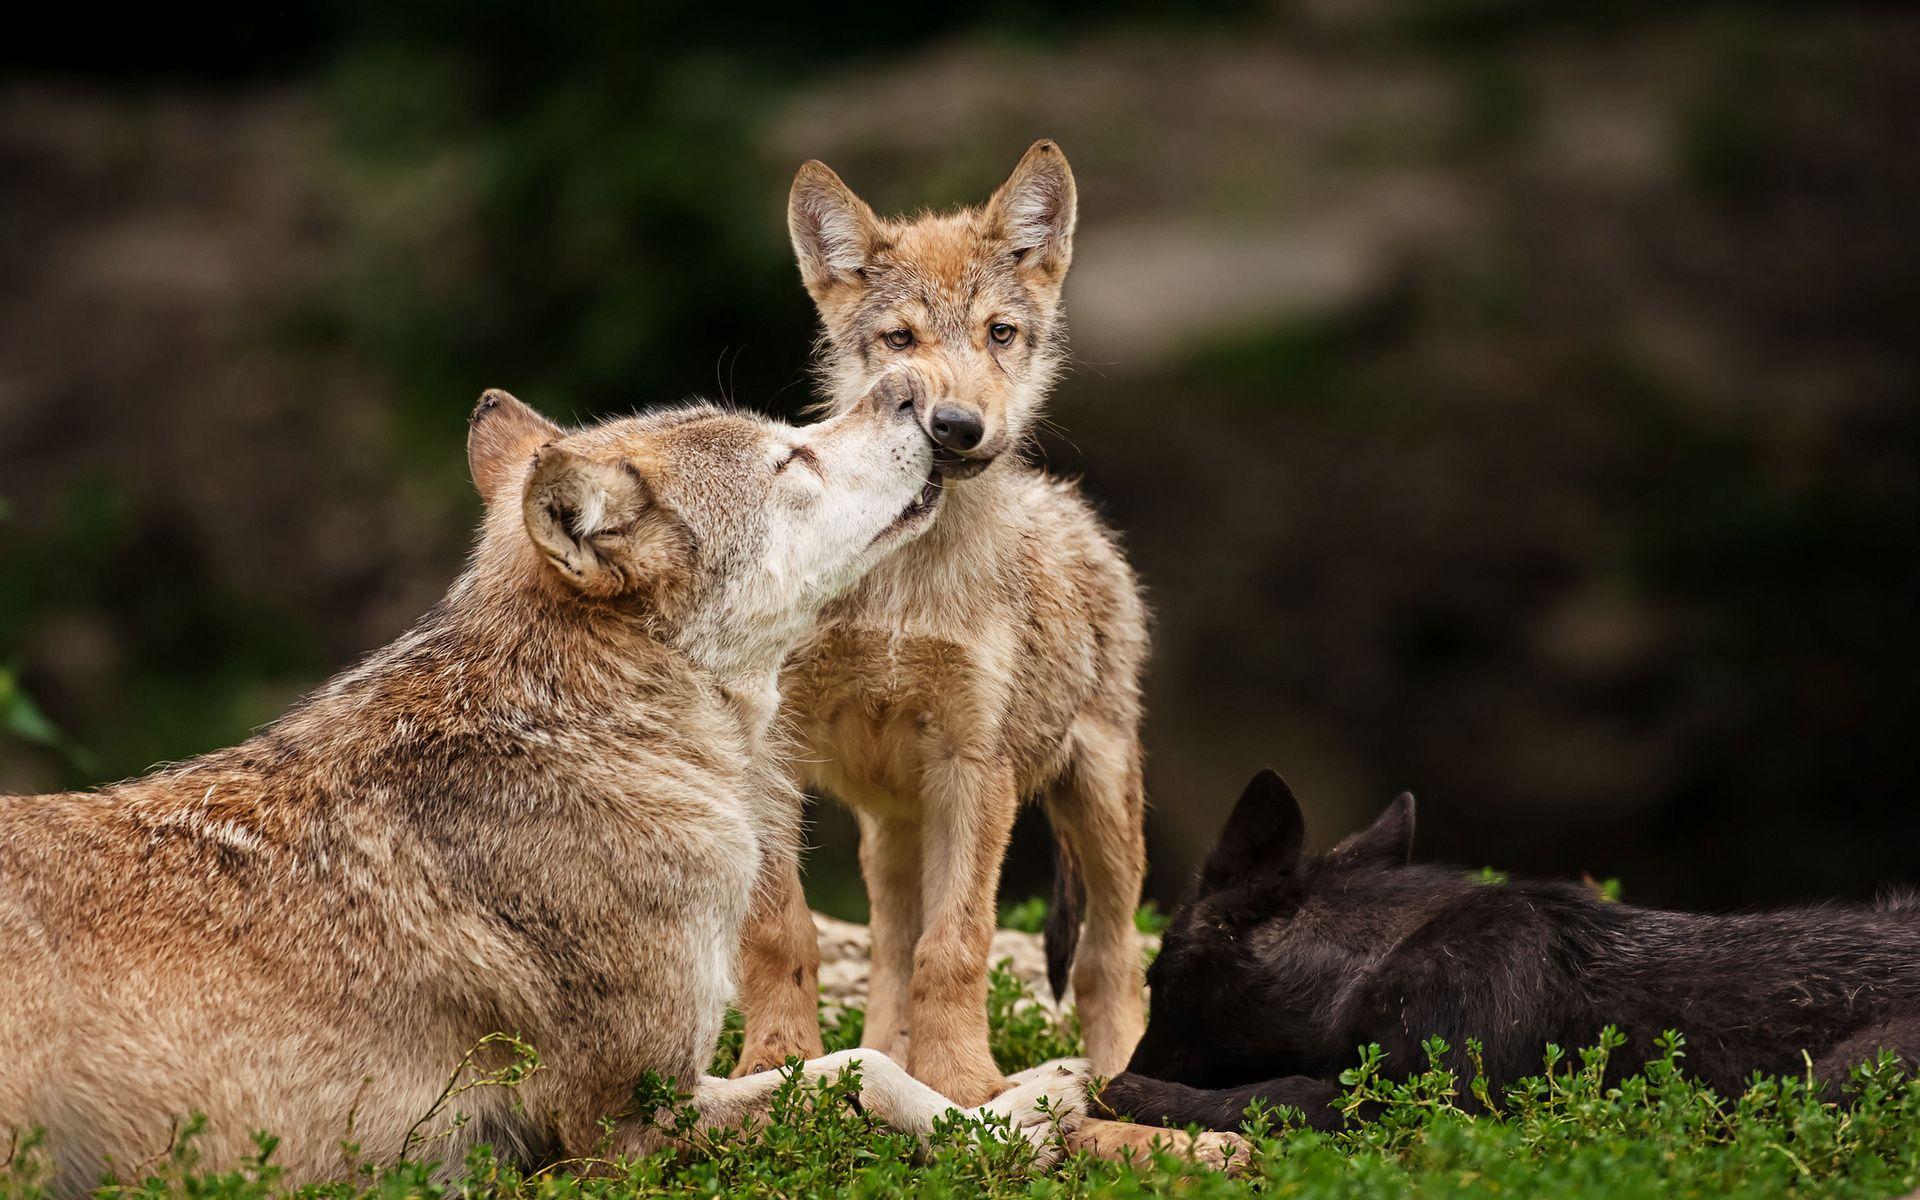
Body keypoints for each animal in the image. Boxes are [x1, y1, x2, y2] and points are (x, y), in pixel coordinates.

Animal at [0, 379, 1091, 1192]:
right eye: (794, 457)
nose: (913, 394)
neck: (594, 740)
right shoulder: (618, 1125)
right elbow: (861, 1074)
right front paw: (1019, 1124)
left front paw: (1040, 1091)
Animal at [732, 140, 1151, 1107]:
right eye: (902, 341)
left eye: (999, 334)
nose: (954, 425)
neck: (901, 582)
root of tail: (1074, 513)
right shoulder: (773, 756)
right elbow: (783, 932)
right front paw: (773, 1062)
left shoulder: (975, 765)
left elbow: (956, 947)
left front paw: (963, 1084)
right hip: (894, 827)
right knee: (889, 949)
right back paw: (878, 1063)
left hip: (1100, 804)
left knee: (1112, 963)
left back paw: (1117, 1082)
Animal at [1099, 770, 1920, 1132]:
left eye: (1157, 977)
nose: (1132, 1057)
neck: (1352, 984)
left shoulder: (1431, 1094)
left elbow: (1261, 1097)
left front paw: (1130, 1092)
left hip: (1841, 1078)